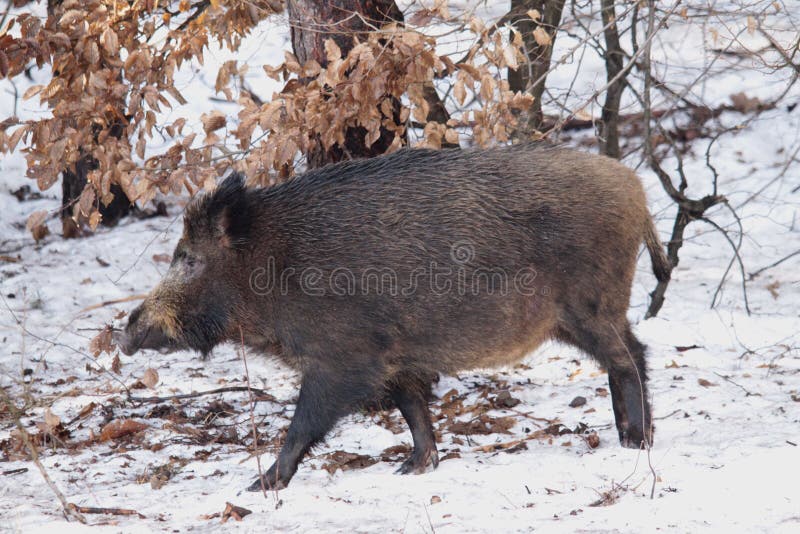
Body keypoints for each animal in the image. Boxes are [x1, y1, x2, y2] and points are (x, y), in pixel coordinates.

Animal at [117, 143, 671, 491]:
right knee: (628, 356)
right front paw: (413, 469)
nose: (127, 330)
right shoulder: (397, 359)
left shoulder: (345, 358)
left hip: (590, 305)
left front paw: (258, 486)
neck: (273, 266)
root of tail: (636, 190)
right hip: (588, 314)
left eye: (188, 259)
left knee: (629, 358)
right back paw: (629, 436)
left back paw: (636, 441)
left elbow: (304, 422)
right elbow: (413, 409)